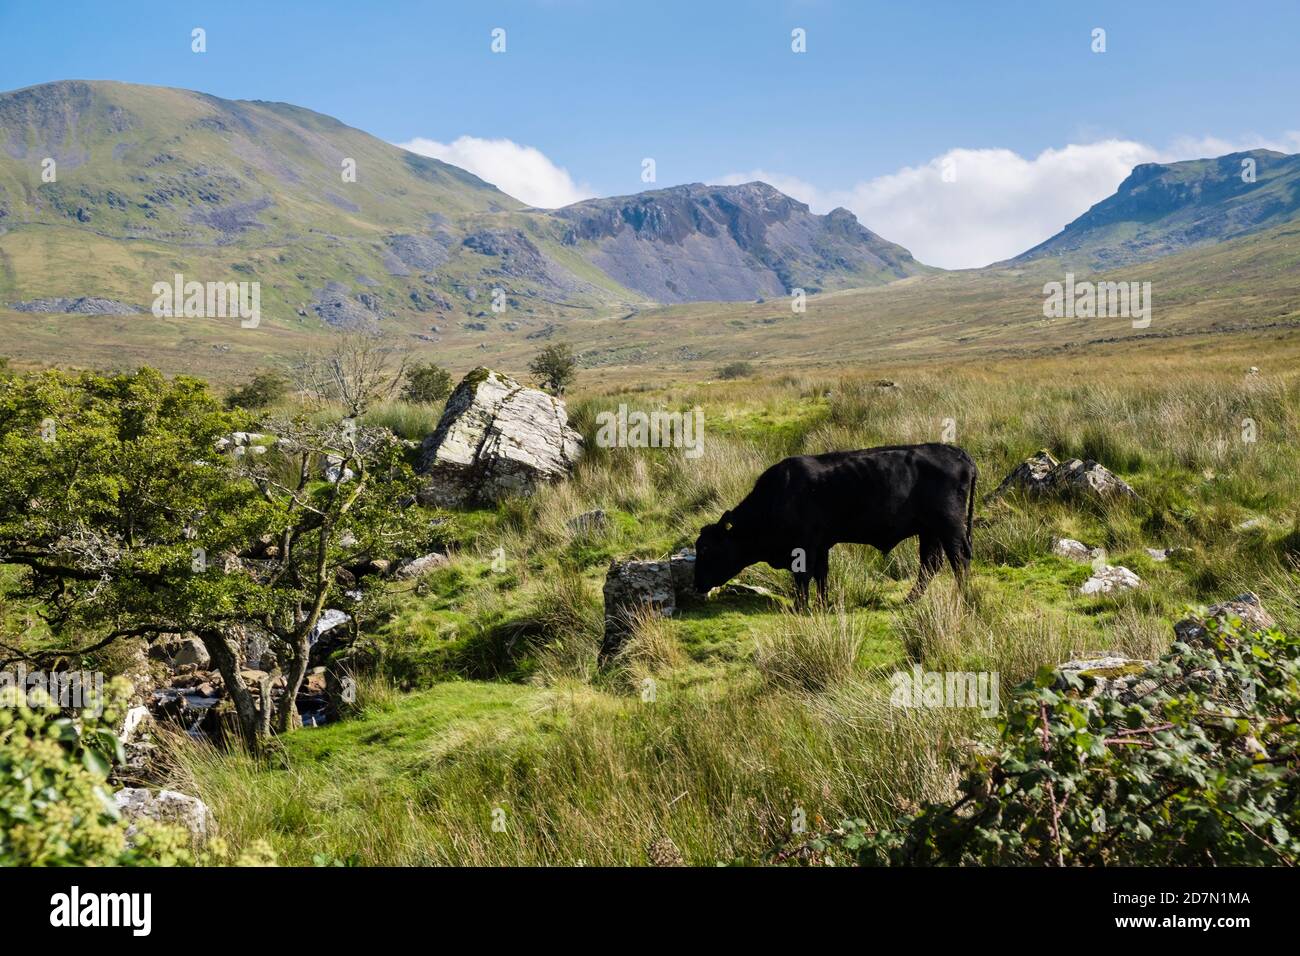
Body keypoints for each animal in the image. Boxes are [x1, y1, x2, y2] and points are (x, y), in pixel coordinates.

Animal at [693, 443, 977, 607]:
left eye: (707, 549)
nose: (696, 585)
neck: (777, 495)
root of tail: (958, 453)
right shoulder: (821, 546)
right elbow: (822, 575)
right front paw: (822, 603)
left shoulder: (804, 547)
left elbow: (803, 577)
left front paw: (801, 607)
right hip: (929, 531)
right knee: (931, 564)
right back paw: (910, 600)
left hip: (949, 527)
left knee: (958, 559)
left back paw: (961, 598)